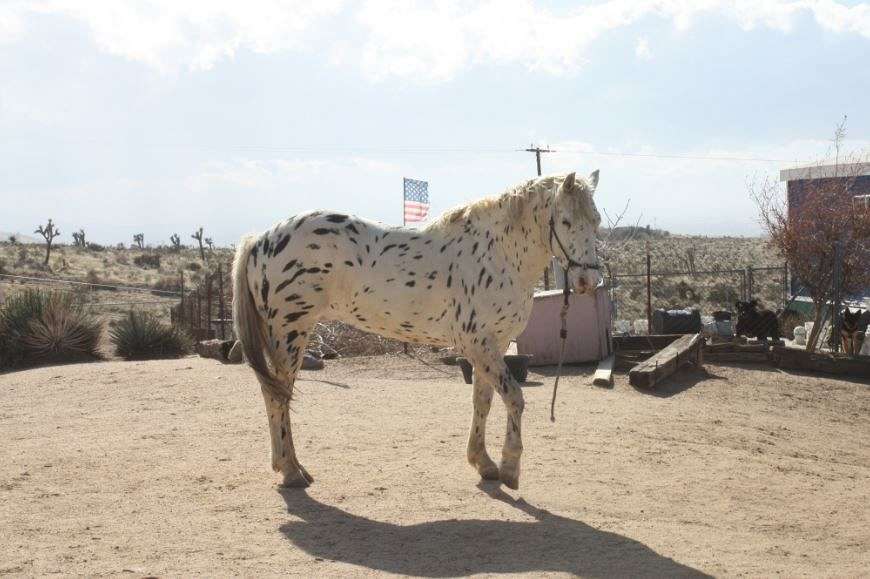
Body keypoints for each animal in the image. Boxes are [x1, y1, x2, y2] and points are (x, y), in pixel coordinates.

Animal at [232, 171, 602, 490]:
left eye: (596, 220)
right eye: (566, 221)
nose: (588, 280)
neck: (496, 253)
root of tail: (261, 239)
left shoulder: (490, 346)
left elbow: (482, 402)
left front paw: (483, 462)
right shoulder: (478, 344)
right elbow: (514, 397)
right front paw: (510, 468)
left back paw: (291, 467)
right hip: (290, 334)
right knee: (277, 396)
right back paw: (291, 471)